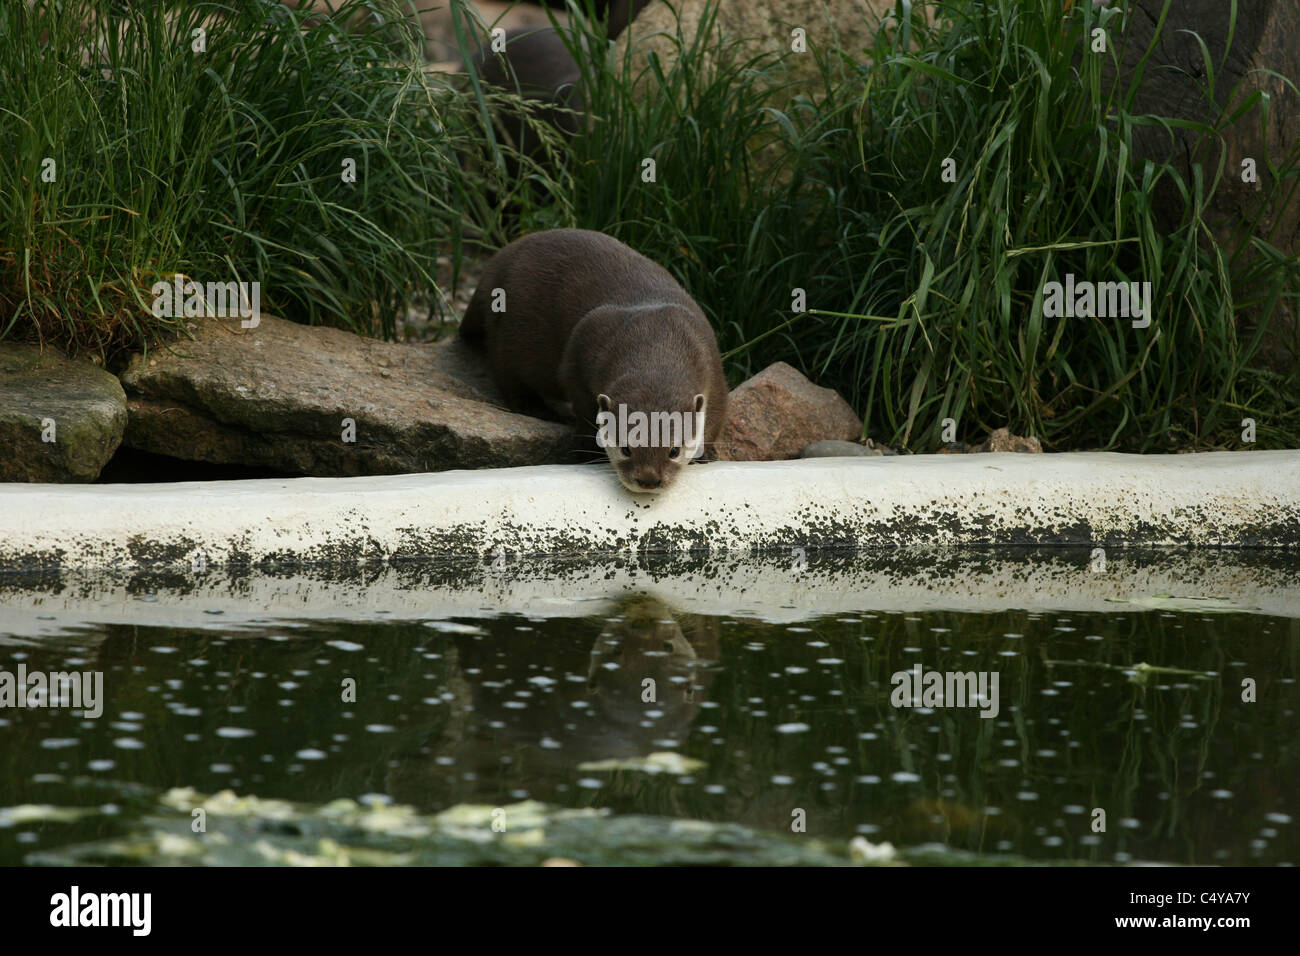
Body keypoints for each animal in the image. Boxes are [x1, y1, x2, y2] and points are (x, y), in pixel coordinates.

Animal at [459, 229, 728, 493]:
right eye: (625, 448)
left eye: (674, 450)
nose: (648, 480)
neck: (656, 337)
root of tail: (499, 261)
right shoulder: (578, 360)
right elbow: (585, 410)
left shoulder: (712, 366)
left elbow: (714, 417)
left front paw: (706, 454)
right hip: (511, 335)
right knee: (507, 375)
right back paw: (538, 409)